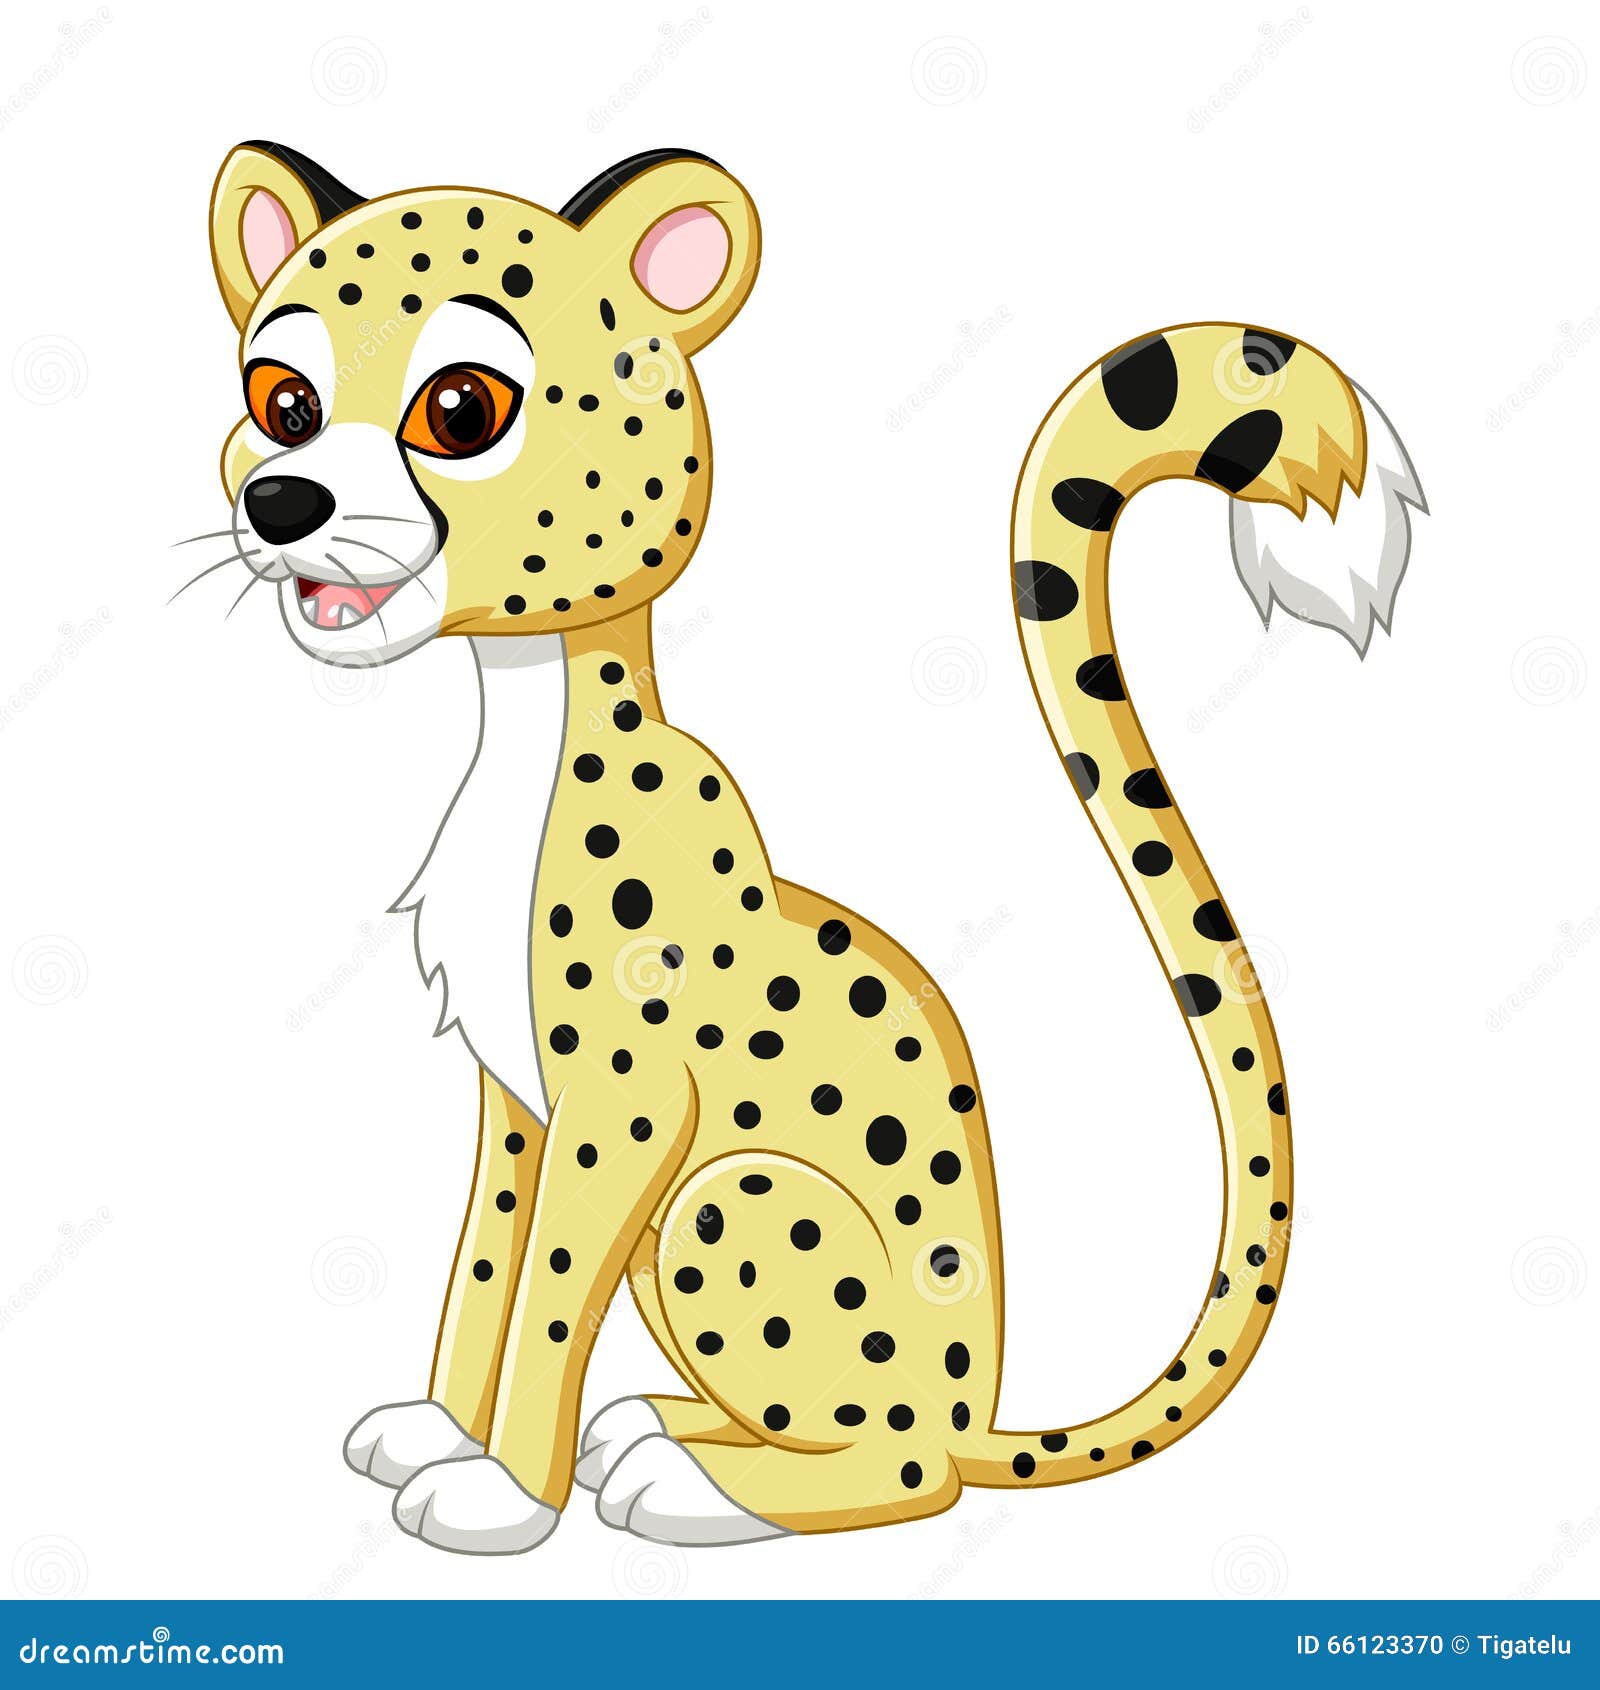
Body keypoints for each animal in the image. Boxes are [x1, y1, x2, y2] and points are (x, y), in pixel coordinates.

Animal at [194, 140, 1425, 1553]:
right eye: (280, 400)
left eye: (461, 406)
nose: (283, 500)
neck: (525, 724)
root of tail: (981, 1404)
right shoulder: (516, 1102)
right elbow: (487, 1266)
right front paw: (446, 1430)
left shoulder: (622, 1107)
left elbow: (549, 1290)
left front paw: (504, 1492)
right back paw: (660, 1426)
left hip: (727, 1201)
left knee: (909, 1470)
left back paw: (690, 1478)